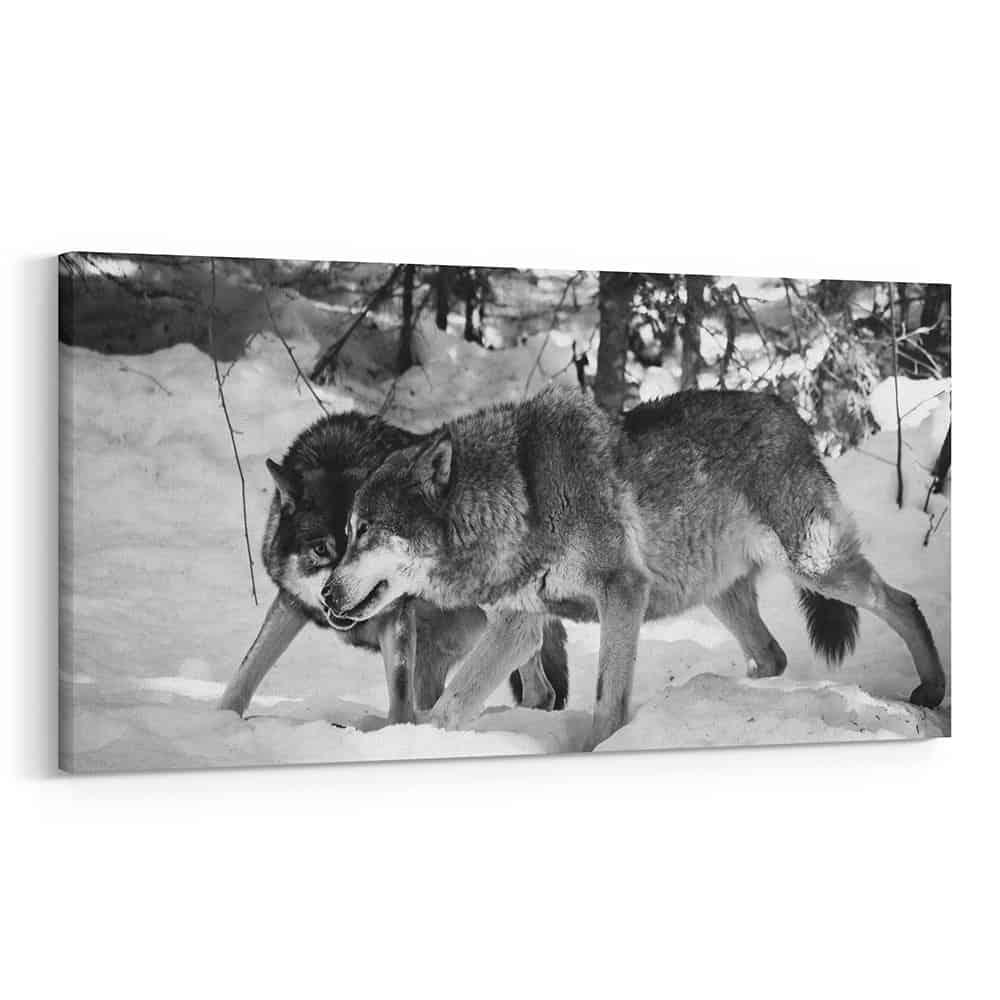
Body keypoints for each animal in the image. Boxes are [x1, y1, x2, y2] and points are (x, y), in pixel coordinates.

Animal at [218, 411, 568, 723]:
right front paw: (222, 721)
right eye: (320, 549)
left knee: (537, 683)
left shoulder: (396, 615)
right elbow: (248, 667)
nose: (335, 594)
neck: (340, 455)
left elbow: (400, 696)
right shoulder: (291, 603)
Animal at [321, 386, 947, 748]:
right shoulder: (521, 624)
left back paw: (933, 689)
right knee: (773, 655)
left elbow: (605, 700)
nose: (326, 595)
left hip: (816, 566)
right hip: (719, 593)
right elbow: (452, 705)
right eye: (347, 533)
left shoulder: (622, 591)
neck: (523, 493)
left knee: (903, 601)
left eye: (367, 530)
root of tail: (791, 414)